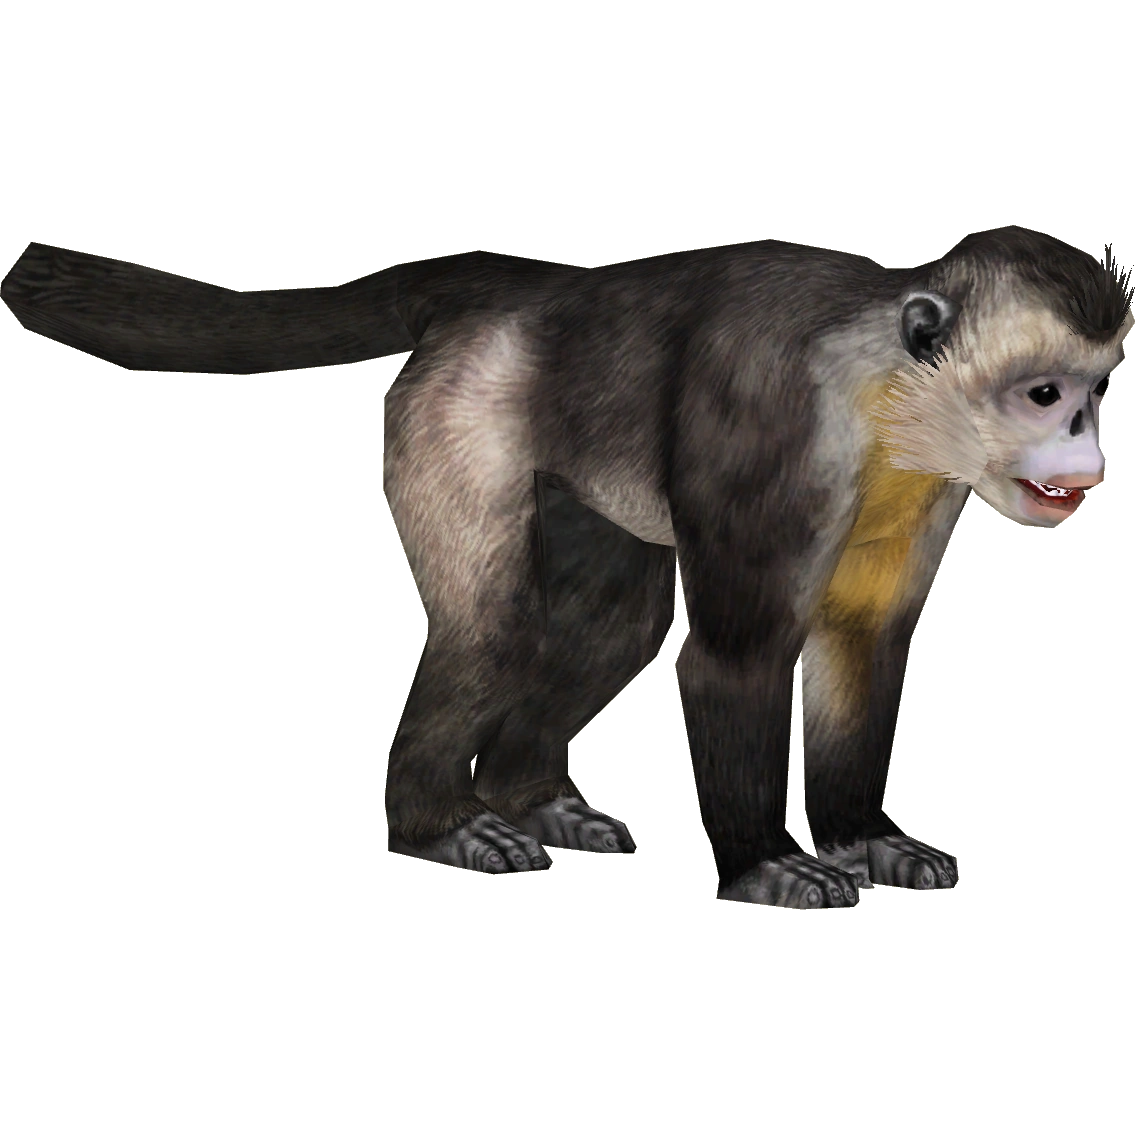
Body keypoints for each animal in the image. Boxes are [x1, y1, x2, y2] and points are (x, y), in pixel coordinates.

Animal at [2, 228, 1130, 910]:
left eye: (1097, 392)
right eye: (1042, 393)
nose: (1087, 452)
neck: (882, 391)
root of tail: (528, 280)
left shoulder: (920, 481)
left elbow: (859, 647)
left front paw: (866, 836)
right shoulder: (779, 433)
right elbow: (734, 657)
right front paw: (764, 862)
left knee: (610, 619)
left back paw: (529, 792)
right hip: (459, 410)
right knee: (489, 626)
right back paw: (438, 826)